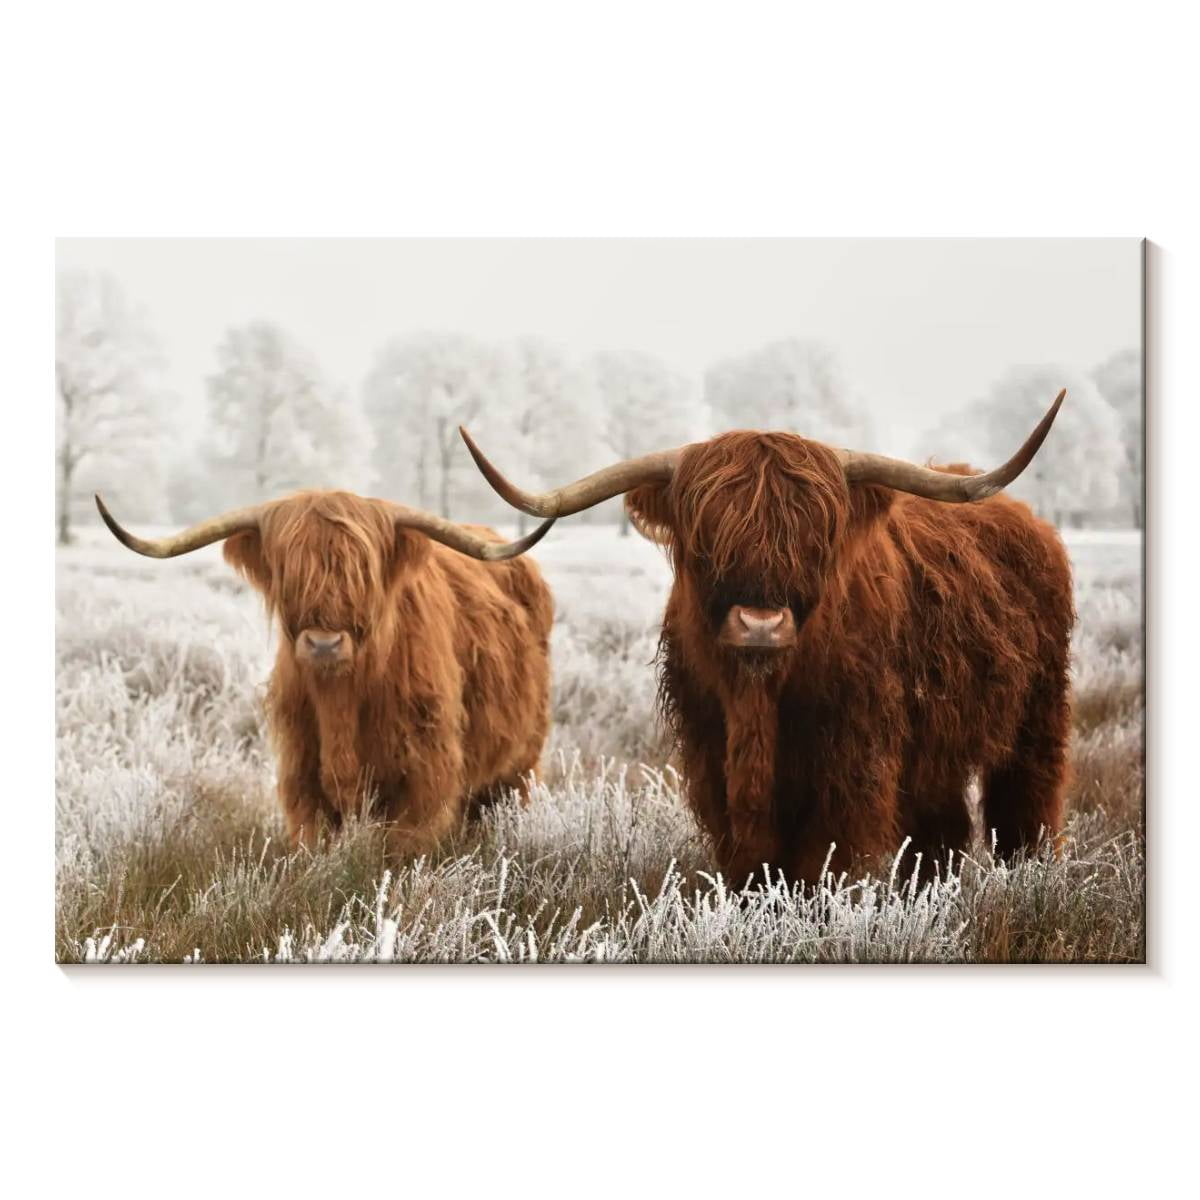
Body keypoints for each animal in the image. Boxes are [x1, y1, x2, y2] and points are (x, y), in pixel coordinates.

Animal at [95, 490, 555, 858]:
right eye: (288, 572)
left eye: (362, 573)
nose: (323, 644)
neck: (342, 700)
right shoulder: (302, 776)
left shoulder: (425, 778)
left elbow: (403, 853)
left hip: (519, 765)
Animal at [460, 391, 1074, 888]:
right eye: (706, 537)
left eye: (815, 538)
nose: (759, 624)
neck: (758, 699)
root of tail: (1029, 521)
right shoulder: (711, 755)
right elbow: (750, 862)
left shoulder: (852, 764)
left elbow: (821, 863)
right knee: (941, 829)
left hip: (1037, 716)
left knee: (1025, 806)